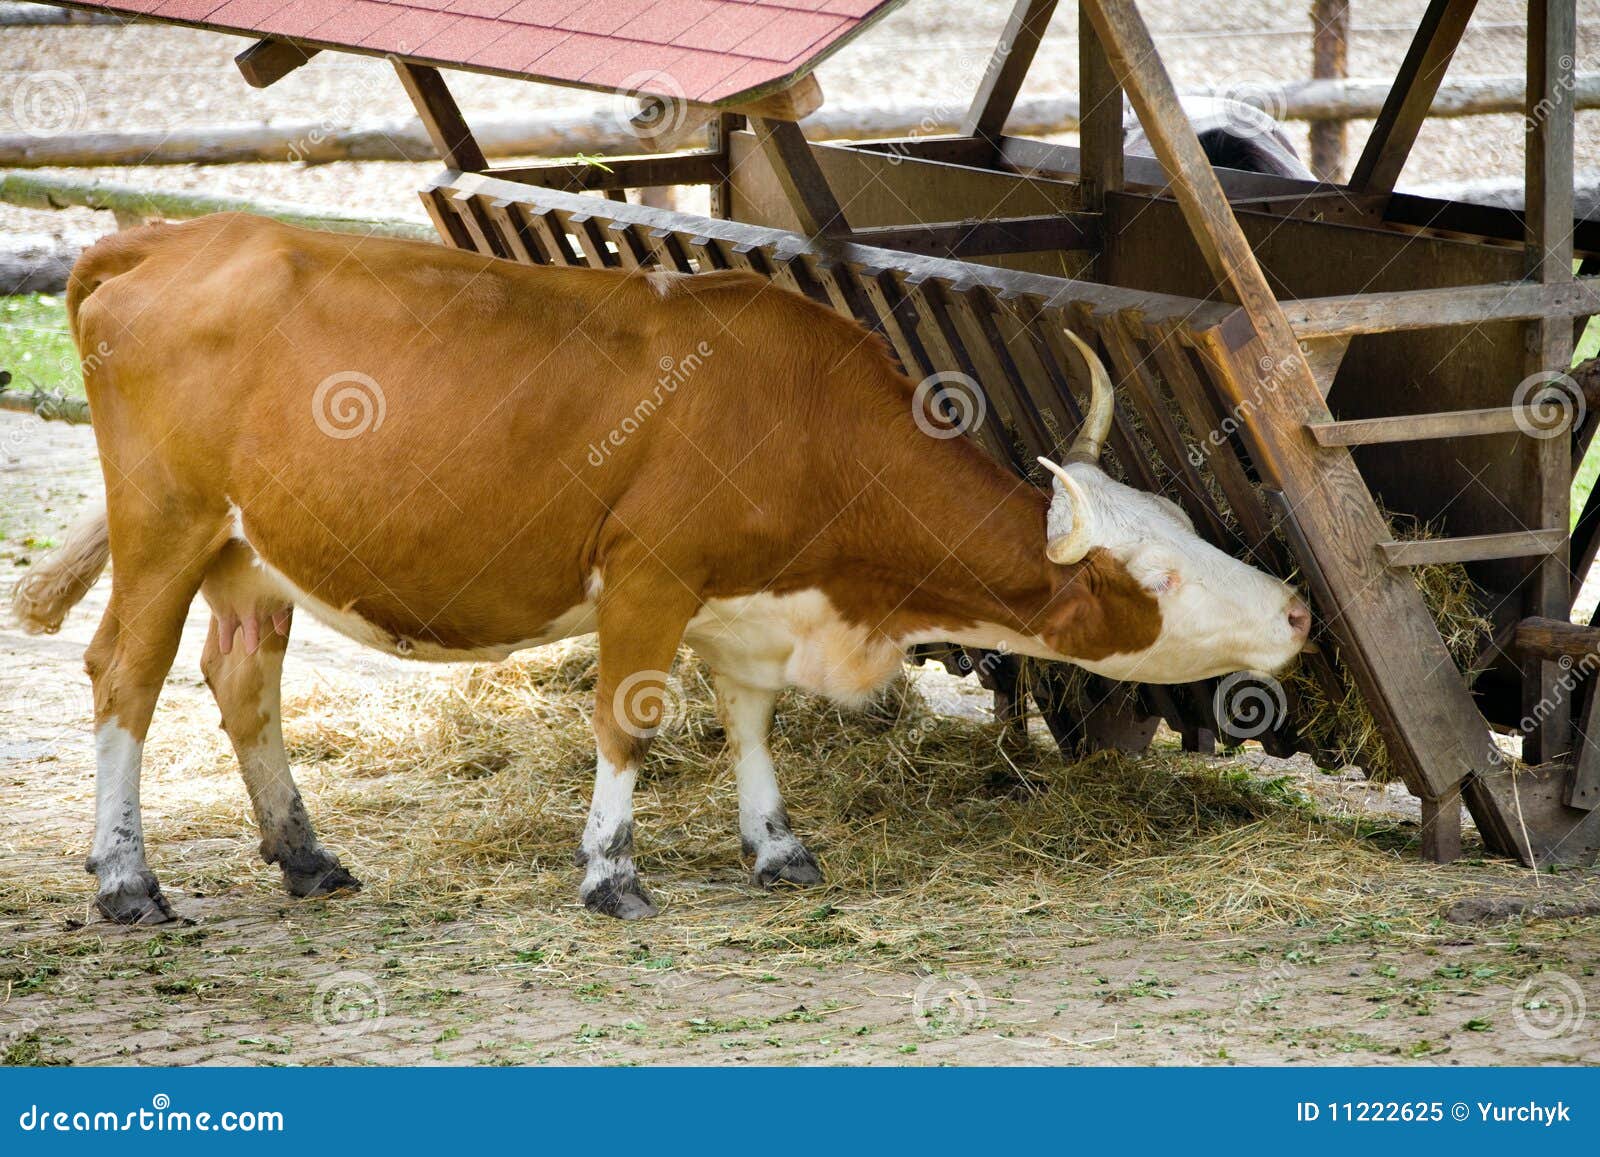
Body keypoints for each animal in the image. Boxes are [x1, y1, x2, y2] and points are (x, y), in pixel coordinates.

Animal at [12, 214, 1310, 923]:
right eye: (1165, 573)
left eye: (1187, 522)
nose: (1298, 607)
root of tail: (160, 237)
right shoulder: (646, 578)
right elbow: (626, 723)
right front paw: (610, 872)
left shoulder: (750, 606)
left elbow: (751, 725)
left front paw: (776, 845)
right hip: (166, 525)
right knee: (123, 675)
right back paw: (125, 882)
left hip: (249, 550)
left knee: (244, 681)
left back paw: (306, 855)